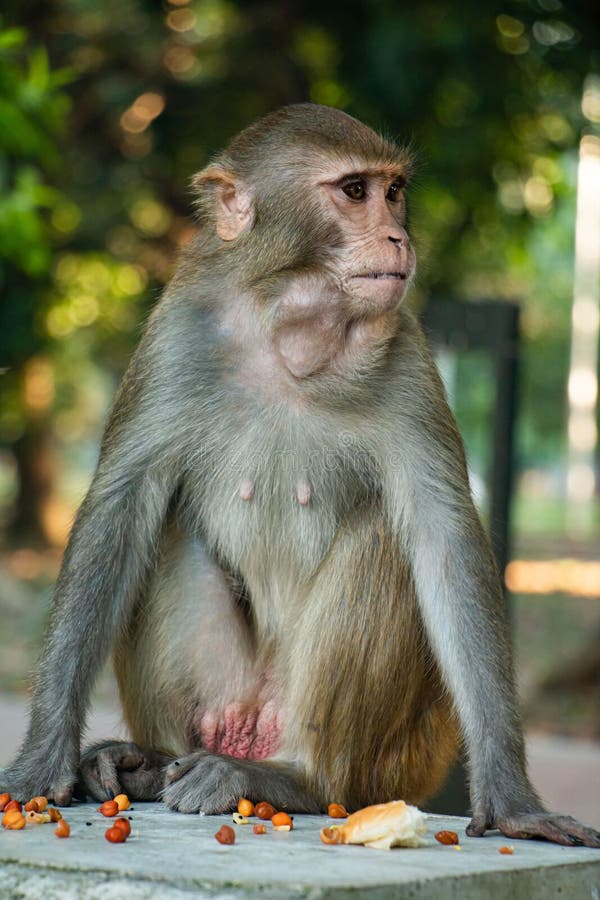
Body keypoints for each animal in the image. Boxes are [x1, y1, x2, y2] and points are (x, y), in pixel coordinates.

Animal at [2, 104, 599, 848]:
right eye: (354, 192)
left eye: (394, 192)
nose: (398, 235)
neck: (292, 333)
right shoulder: (179, 332)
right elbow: (121, 508)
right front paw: (40, 760)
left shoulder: (405, 352)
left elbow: (444, 540)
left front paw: (515, 801)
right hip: (229, 699)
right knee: (163, 527)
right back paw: (150, 763)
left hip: (403, 757)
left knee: (383, 540)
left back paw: (298, 780)